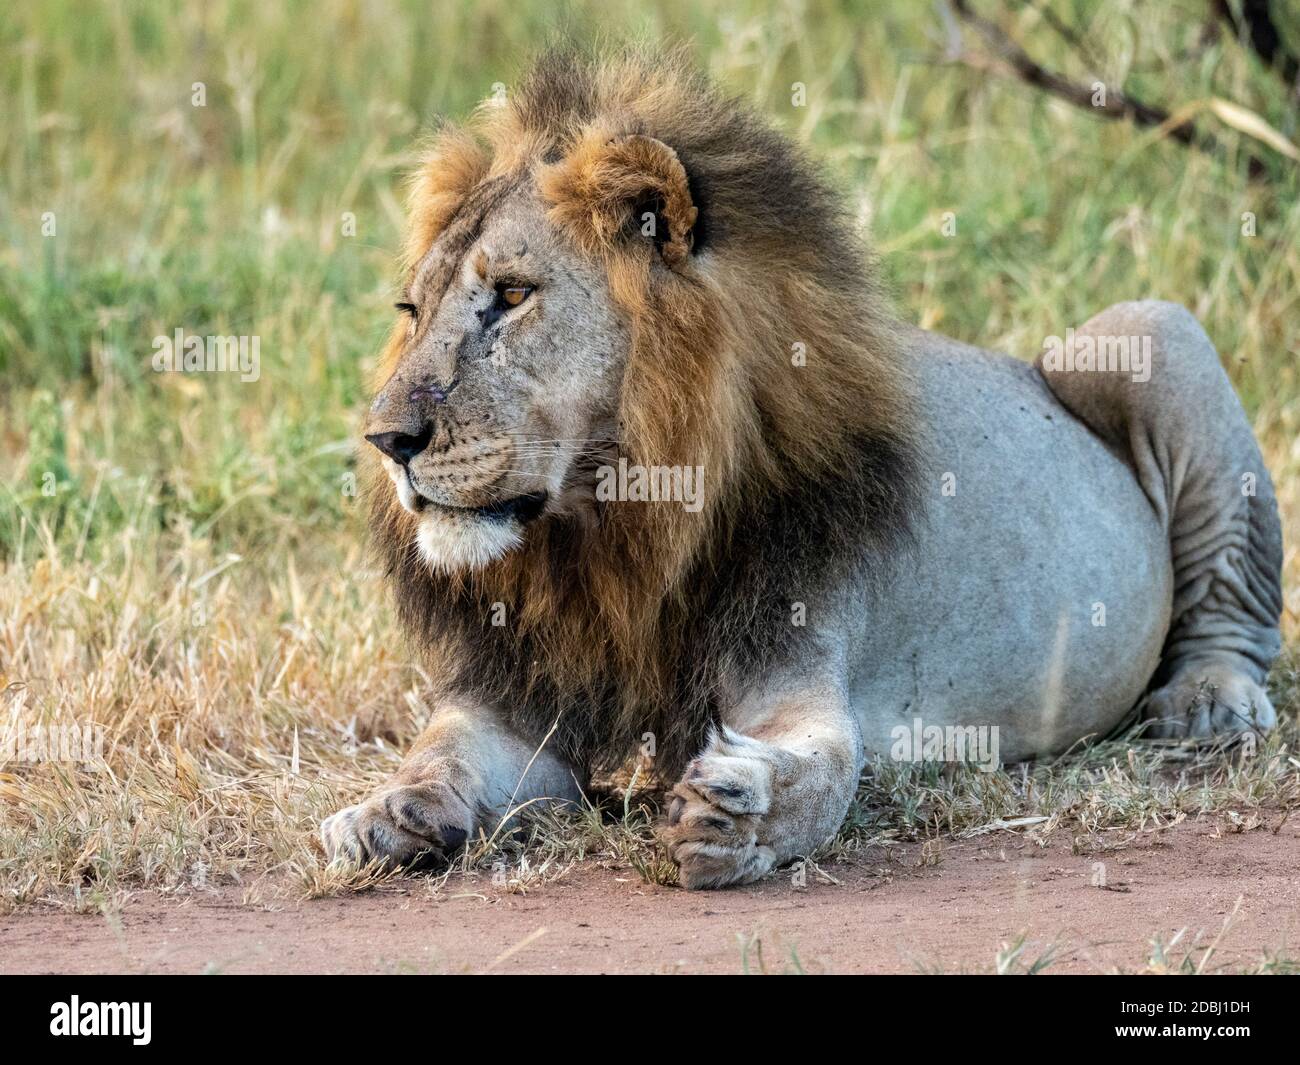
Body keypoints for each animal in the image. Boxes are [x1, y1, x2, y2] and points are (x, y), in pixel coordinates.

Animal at [321, 49, 1284, 889]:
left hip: (1151, 331)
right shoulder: (515, 698)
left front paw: (734, 813)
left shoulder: (801, 661)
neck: (617, 540)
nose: (385, 438)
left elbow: (826, 767)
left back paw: (1208, 702)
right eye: (412, 310)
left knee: (1236, 608)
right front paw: (384, 812)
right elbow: (442, 748)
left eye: (513, 295)